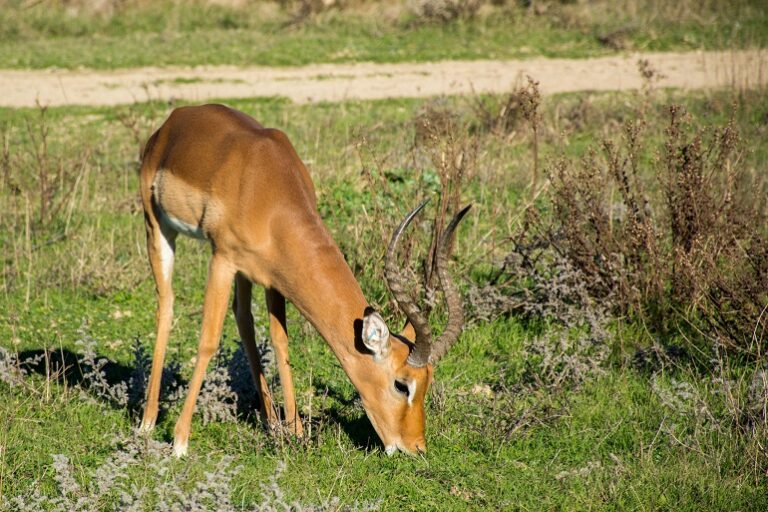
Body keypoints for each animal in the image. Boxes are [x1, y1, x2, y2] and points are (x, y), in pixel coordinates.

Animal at [137, 104, 469, 456]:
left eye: (428, 382)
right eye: (401, 384)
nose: (417, 447)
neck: (268, 190)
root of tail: (174, 120)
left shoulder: (274, 276)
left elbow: (281, 340)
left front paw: (295, 430)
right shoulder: (221, 259)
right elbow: (208, 341)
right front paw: (179, 441)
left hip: (245, 271)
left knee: (243, 318)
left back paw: (270, 420)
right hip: (157, 227)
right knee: (166, 306)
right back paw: (147, 422)